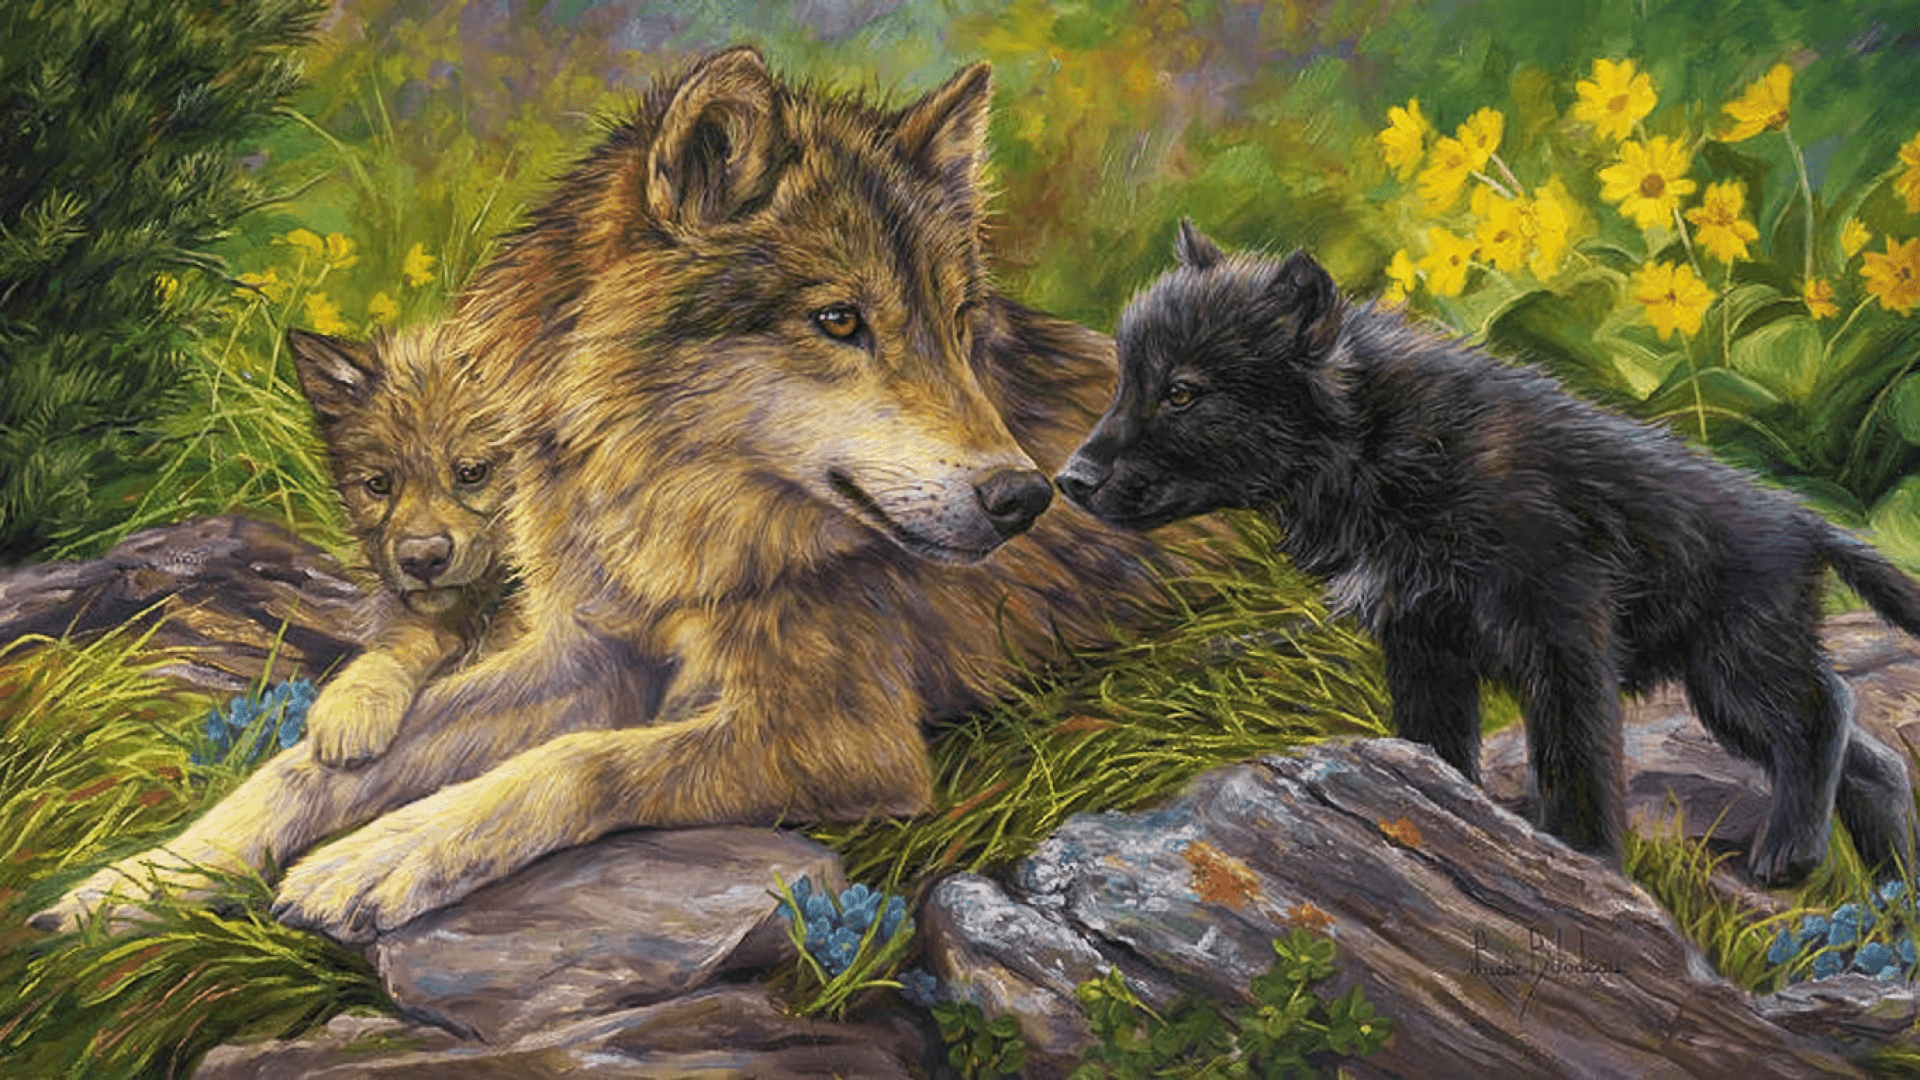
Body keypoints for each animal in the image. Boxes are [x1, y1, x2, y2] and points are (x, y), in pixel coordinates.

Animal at [289, 326, 516, 769]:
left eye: (472, 473)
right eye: (378, 485)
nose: (422, 561)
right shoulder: (421, 621)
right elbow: (394, 647)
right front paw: (354, 702)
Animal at [1056, 221, 1918, 884]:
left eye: (1183, 393)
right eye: (1126, 383)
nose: (1070, 481)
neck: (1381, 440)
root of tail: (1804, 519)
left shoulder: (1563, 641)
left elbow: (1577, 766)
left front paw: (1589, 869)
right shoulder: (1421, 641)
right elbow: (1438, 750)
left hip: (1734, 665)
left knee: (1826, 713)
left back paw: (1791, 856)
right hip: (1724, 685)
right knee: (1873, 759)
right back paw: (1889, 896)